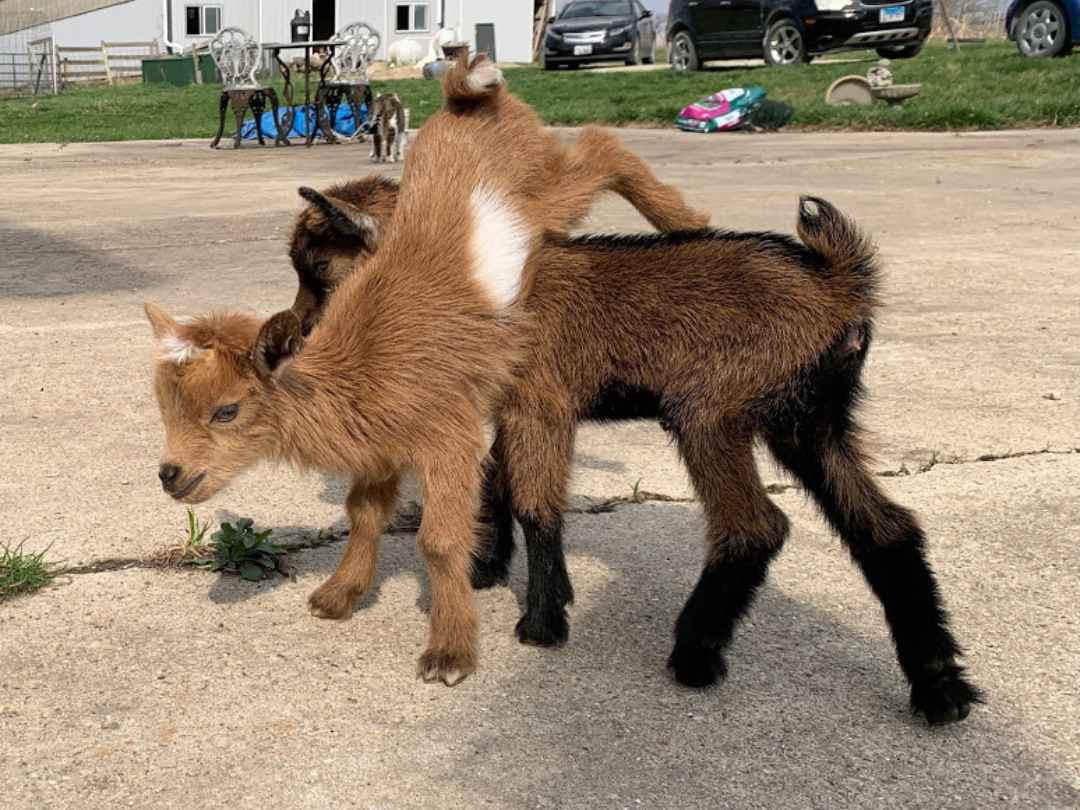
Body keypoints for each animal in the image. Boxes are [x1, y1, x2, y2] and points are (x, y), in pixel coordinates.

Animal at [143, 55, 708, 687]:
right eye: (164, 408)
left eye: (227, 410)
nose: (170, 475)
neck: (358, 369)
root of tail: (464, 96)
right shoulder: (381, 446)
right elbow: (363, 513)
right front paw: (339, 595)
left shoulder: (447, 437)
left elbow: (438, 541)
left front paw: (451, 650)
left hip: (547, 191)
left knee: (600, 148)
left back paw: (689, 219)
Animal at [276, 179, 981, 724]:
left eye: (321, 271)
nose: (297, 339)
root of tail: (838, 285)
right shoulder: (515, 406)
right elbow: (500, 481)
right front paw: (491, 572)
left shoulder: (541, 402)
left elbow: (535, 502)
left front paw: (542, 623)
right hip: (811, 423)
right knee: (885, 528)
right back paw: (940, 687)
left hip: (711, 413)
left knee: (755, 527)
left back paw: (694, 654)